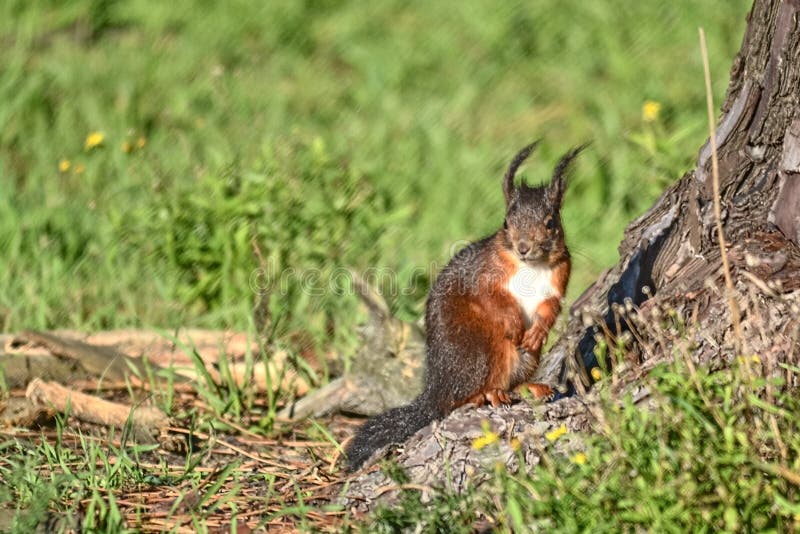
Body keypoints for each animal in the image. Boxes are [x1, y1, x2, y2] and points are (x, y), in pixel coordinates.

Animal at [345, 141, 586, 471]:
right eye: (506, 222)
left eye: (551, 224)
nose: (524, 246)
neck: (531, 266)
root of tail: (436, 388)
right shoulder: (481, 275)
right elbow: (491, 298)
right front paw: (514, 321)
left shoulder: (558, 279)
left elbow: (550, 309)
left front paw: (538, 332)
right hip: (478, 352)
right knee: (457, 399)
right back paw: (484, 395)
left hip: (524, 359)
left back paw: (529, 387)